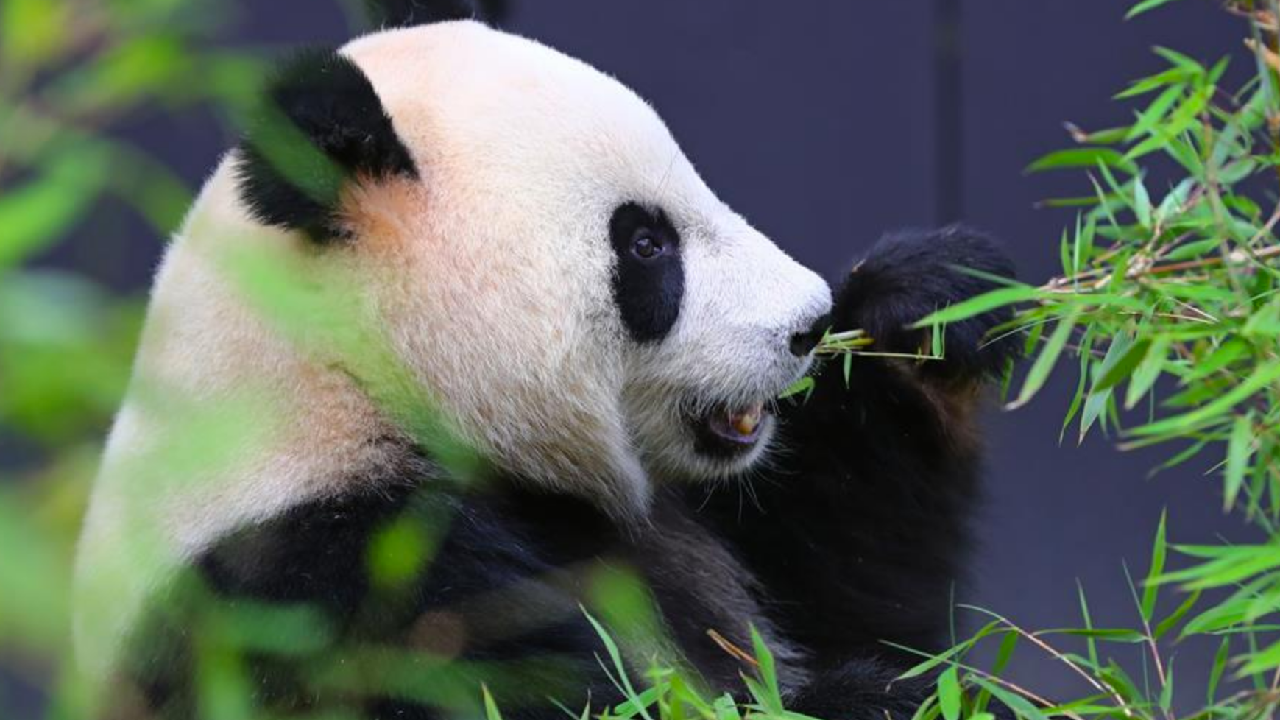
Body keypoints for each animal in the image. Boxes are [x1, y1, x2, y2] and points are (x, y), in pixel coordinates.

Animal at [73, 2, 1017, 719]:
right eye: (646, 243)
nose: (807, 324)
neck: (351, 385)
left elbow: (857, 588)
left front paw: (929, 303)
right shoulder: (326, 585)